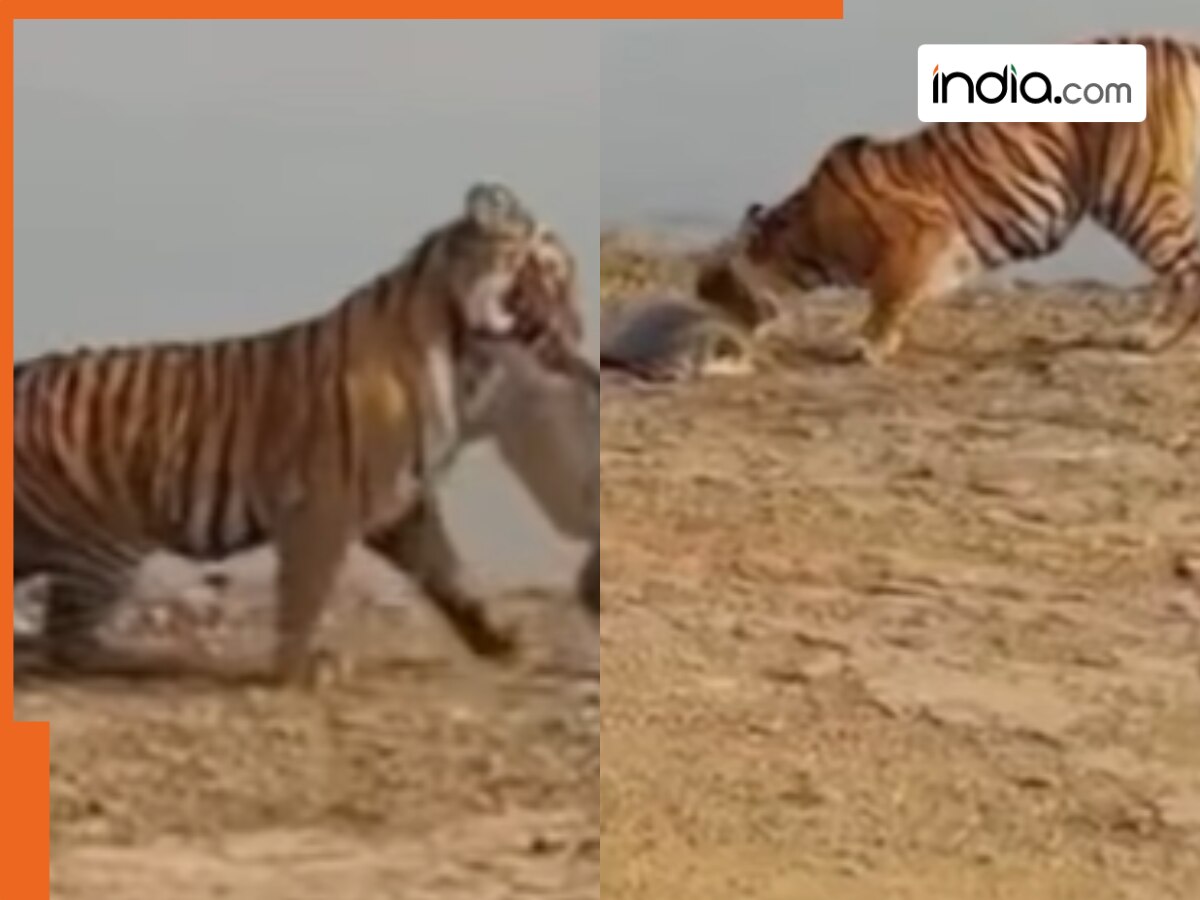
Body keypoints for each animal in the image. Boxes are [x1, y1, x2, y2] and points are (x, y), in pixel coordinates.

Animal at [13, 182, 591, 686]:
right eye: (555, 271)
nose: (581, 325)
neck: (467, 354)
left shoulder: (405, 503)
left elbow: (451, 572)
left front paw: (500, 641)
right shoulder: (324, 503)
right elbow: (306, 593)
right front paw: (297, 669)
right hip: (107, 536)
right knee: (70, 643)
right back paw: (158, 656)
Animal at [696, 33, 1200, 366]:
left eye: (718, 284)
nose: (706, 320)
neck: (809, 239)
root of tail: (1176, 45)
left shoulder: (921, 229)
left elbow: (887, 294)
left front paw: (867, 344)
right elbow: (904, 294)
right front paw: (882, 339)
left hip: (1136, 195)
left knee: (1186, 271)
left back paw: (1153, 337)